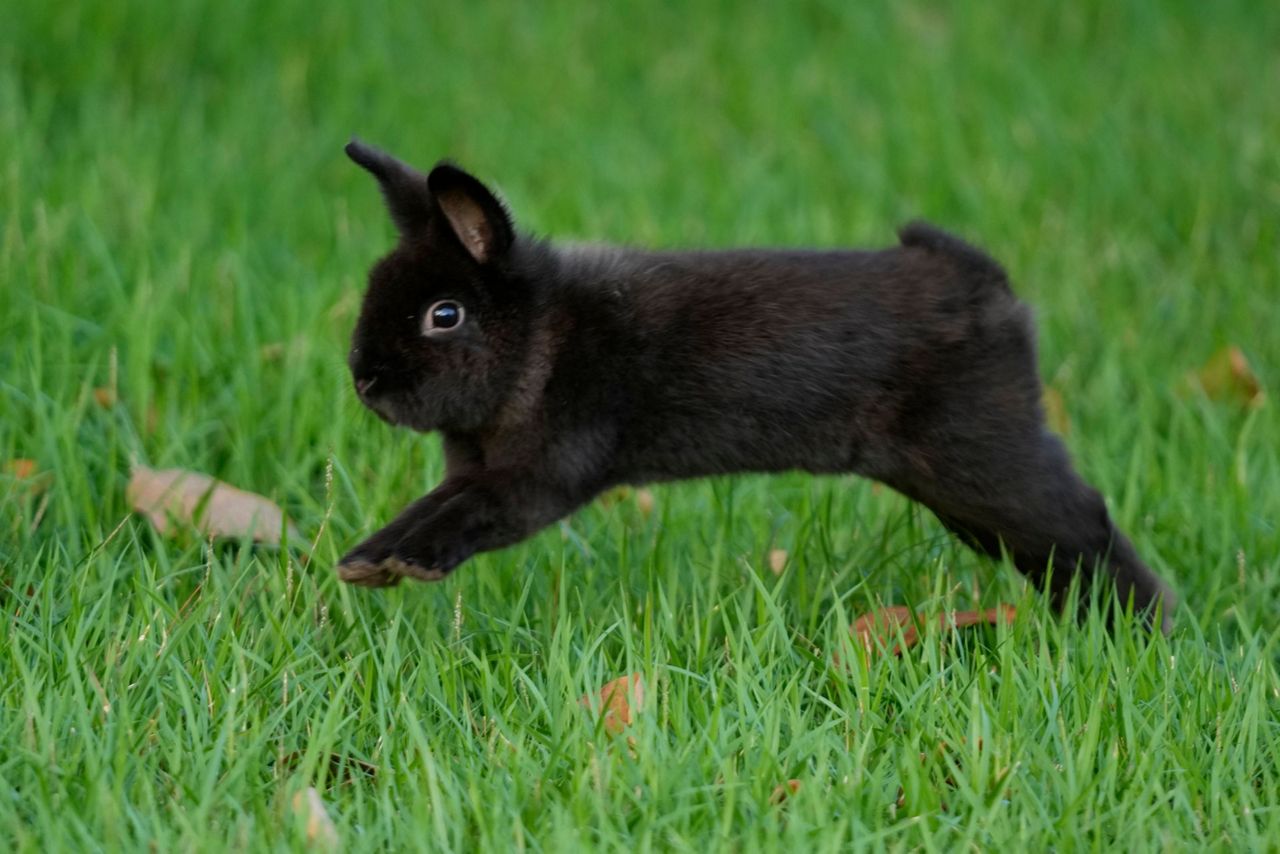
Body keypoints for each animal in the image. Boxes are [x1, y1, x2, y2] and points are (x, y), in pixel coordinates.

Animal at [336, 138, 1175, 634]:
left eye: (444, 315)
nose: (364, 380)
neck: (544, 335)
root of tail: (987, 289)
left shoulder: (535, 479)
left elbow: (469, 517)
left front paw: (398, 565)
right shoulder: (476, 472)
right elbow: (432, 505)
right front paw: (369, 559)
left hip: (985, 463)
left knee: (1085, 525)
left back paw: (1143, 633)